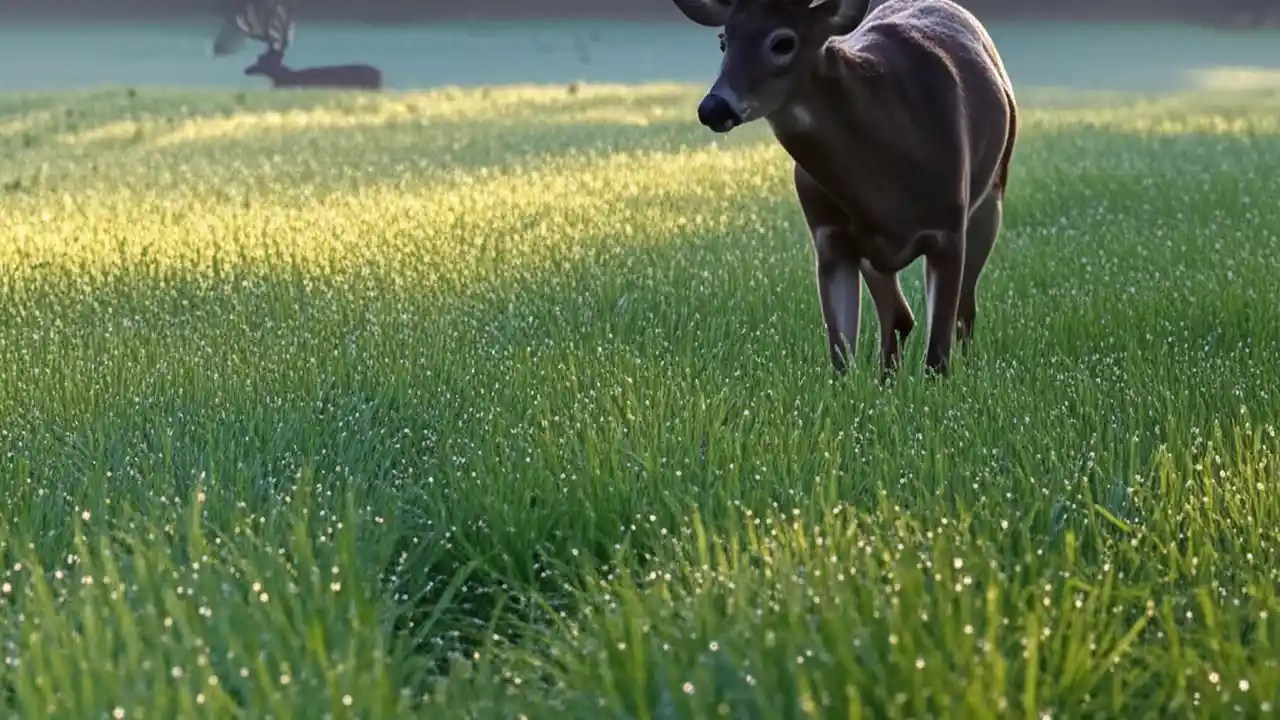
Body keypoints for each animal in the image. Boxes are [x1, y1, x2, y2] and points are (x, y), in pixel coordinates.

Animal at [669, 0, 1018, 377]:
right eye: (723, 41)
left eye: (783, 42)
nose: (713, 107)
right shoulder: (829, 235)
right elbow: (841, 356)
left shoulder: (948, 227)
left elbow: (937, 355)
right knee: (900, 316)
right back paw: (887, 374)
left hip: (991, 199)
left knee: (963, 312)